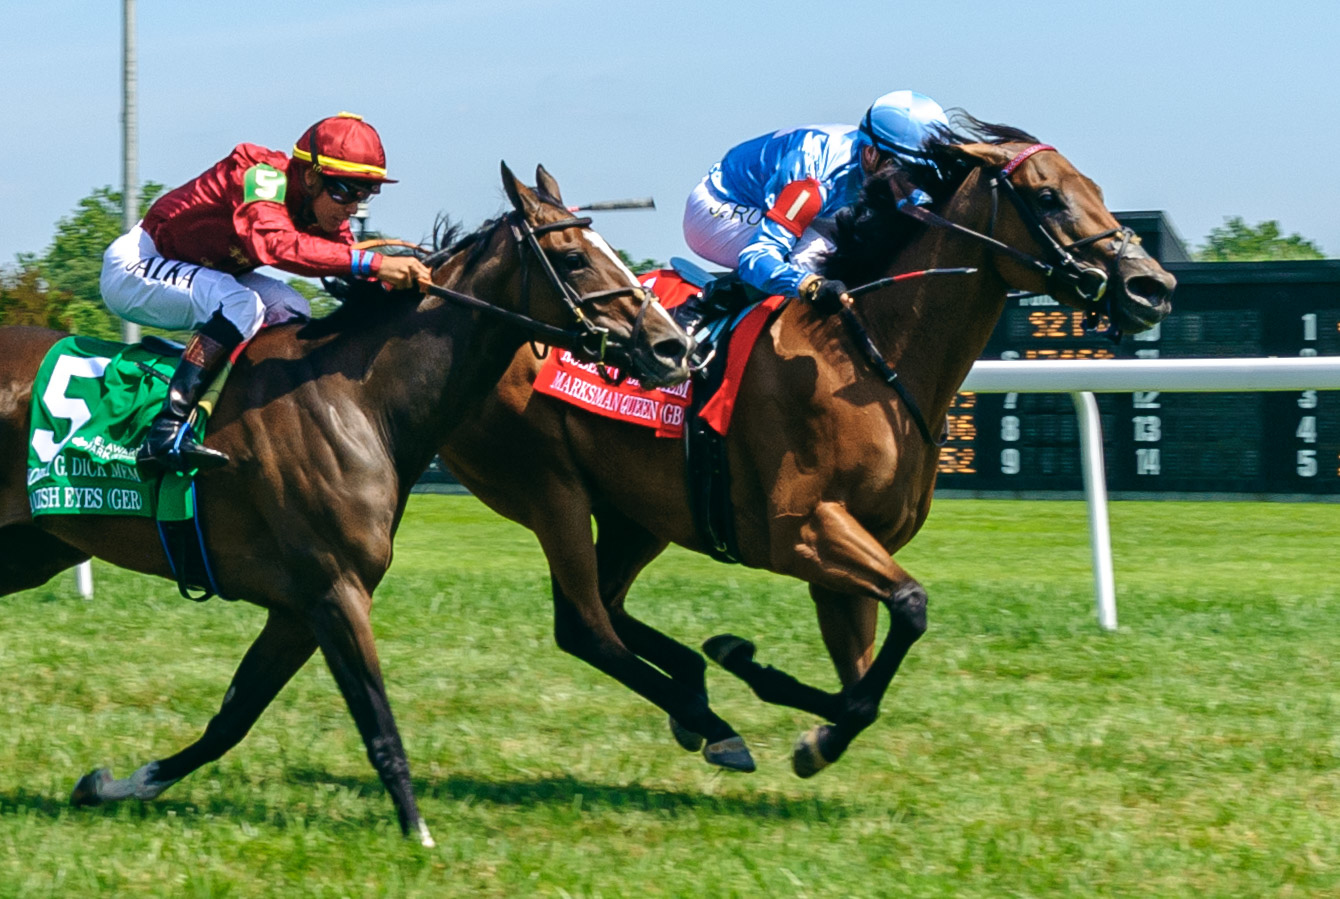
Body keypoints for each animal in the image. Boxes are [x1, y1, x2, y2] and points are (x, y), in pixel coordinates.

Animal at [0, 164, 691, 847]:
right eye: (573, 257)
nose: (673, 347)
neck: (356, 399)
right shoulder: (337, 591)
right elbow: (378, 724)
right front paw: (419, 834)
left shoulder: (296, 610)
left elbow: (232, 718)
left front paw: (112, 785)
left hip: (33, 551)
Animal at [438, 117, 1176, 777]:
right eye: (1049, 197)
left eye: (1096, 189)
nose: (1153, 285)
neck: (867, 358)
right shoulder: (801, 530)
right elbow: (910, 609)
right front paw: (788, 709)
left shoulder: (853, 547)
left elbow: (863, 678)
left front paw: (770, 686)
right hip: (552, 488)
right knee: (584, 622)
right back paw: (707, 715)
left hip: (640, 509)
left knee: (610, 607)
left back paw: (697, 691)